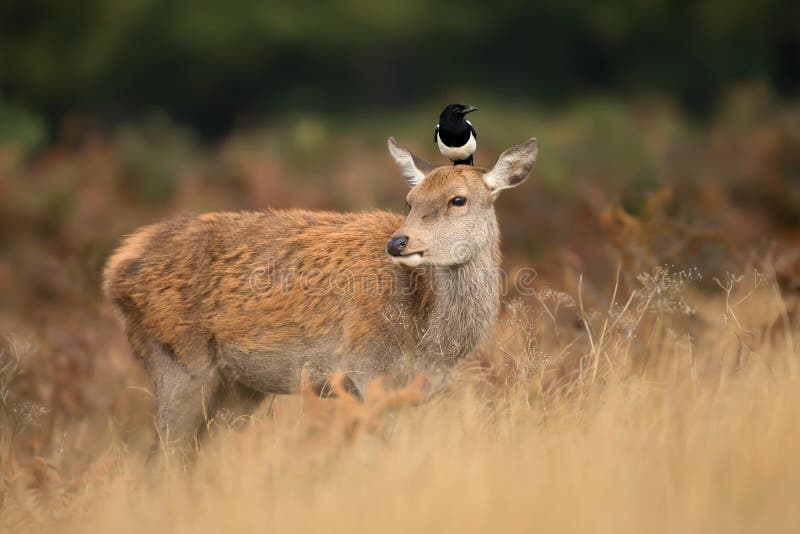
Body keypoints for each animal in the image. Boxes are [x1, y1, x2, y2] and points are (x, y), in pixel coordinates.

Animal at [103, 137, 538, 449]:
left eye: (457, 199)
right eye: (409, 200)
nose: (398, 242)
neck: (429, 339)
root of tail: (115, 269)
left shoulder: (417, 391)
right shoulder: (366, 368)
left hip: (239, 387)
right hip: (177, 360)